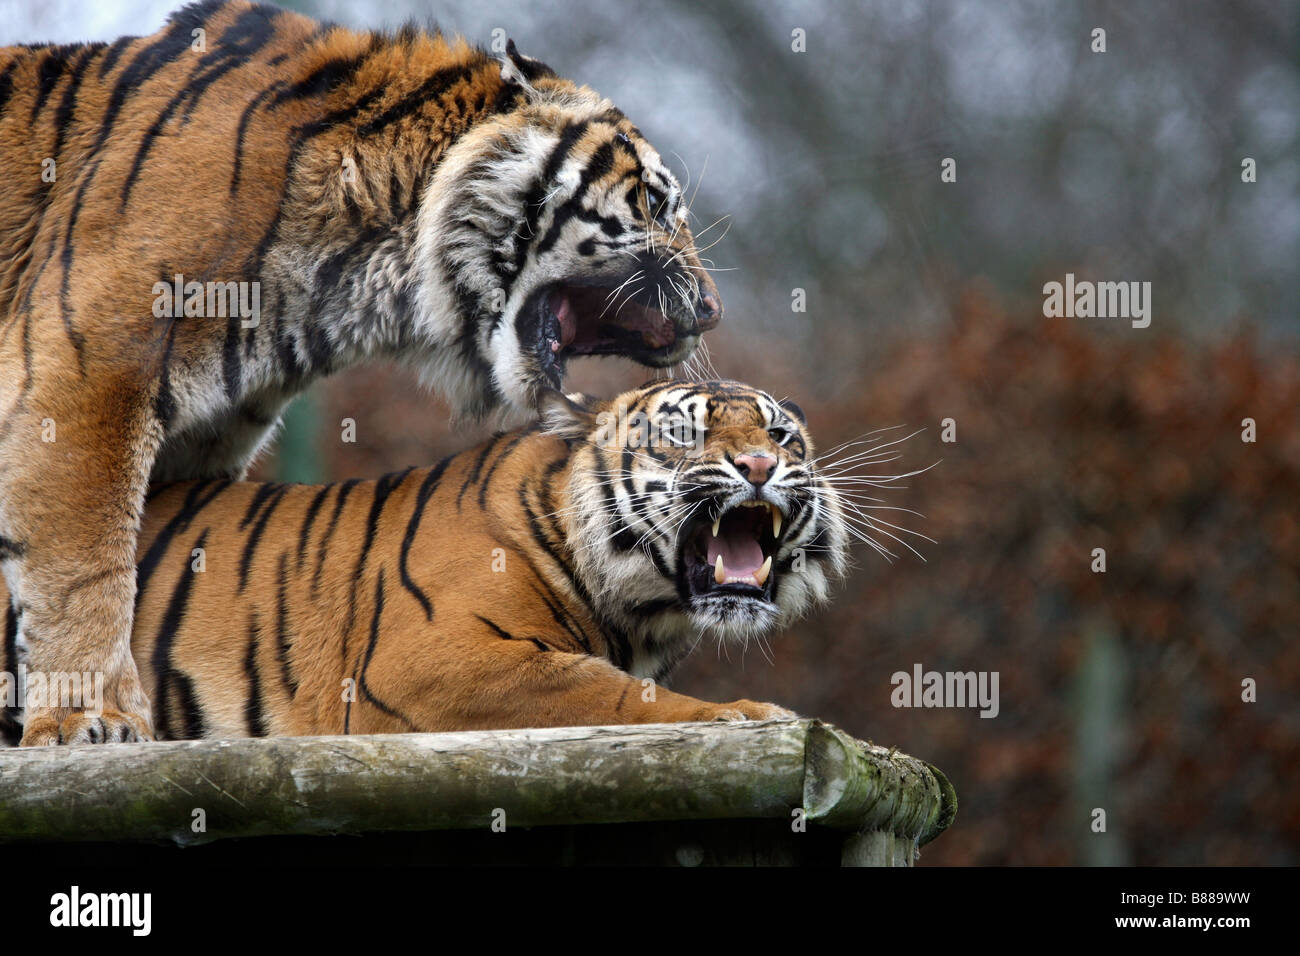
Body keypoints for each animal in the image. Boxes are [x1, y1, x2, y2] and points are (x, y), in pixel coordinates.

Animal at [0, 1, 722, 745]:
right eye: (658, 205)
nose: (711, 308)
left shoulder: (196, 445)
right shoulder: (86, 373)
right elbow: (85, 569)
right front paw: (93, 721)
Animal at [0, 380, 847, 741]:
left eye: (782, 436)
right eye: (683, 434)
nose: (760, 466)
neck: (639, 616)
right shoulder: (432, 660)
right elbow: (611, 692)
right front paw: (750, 715)